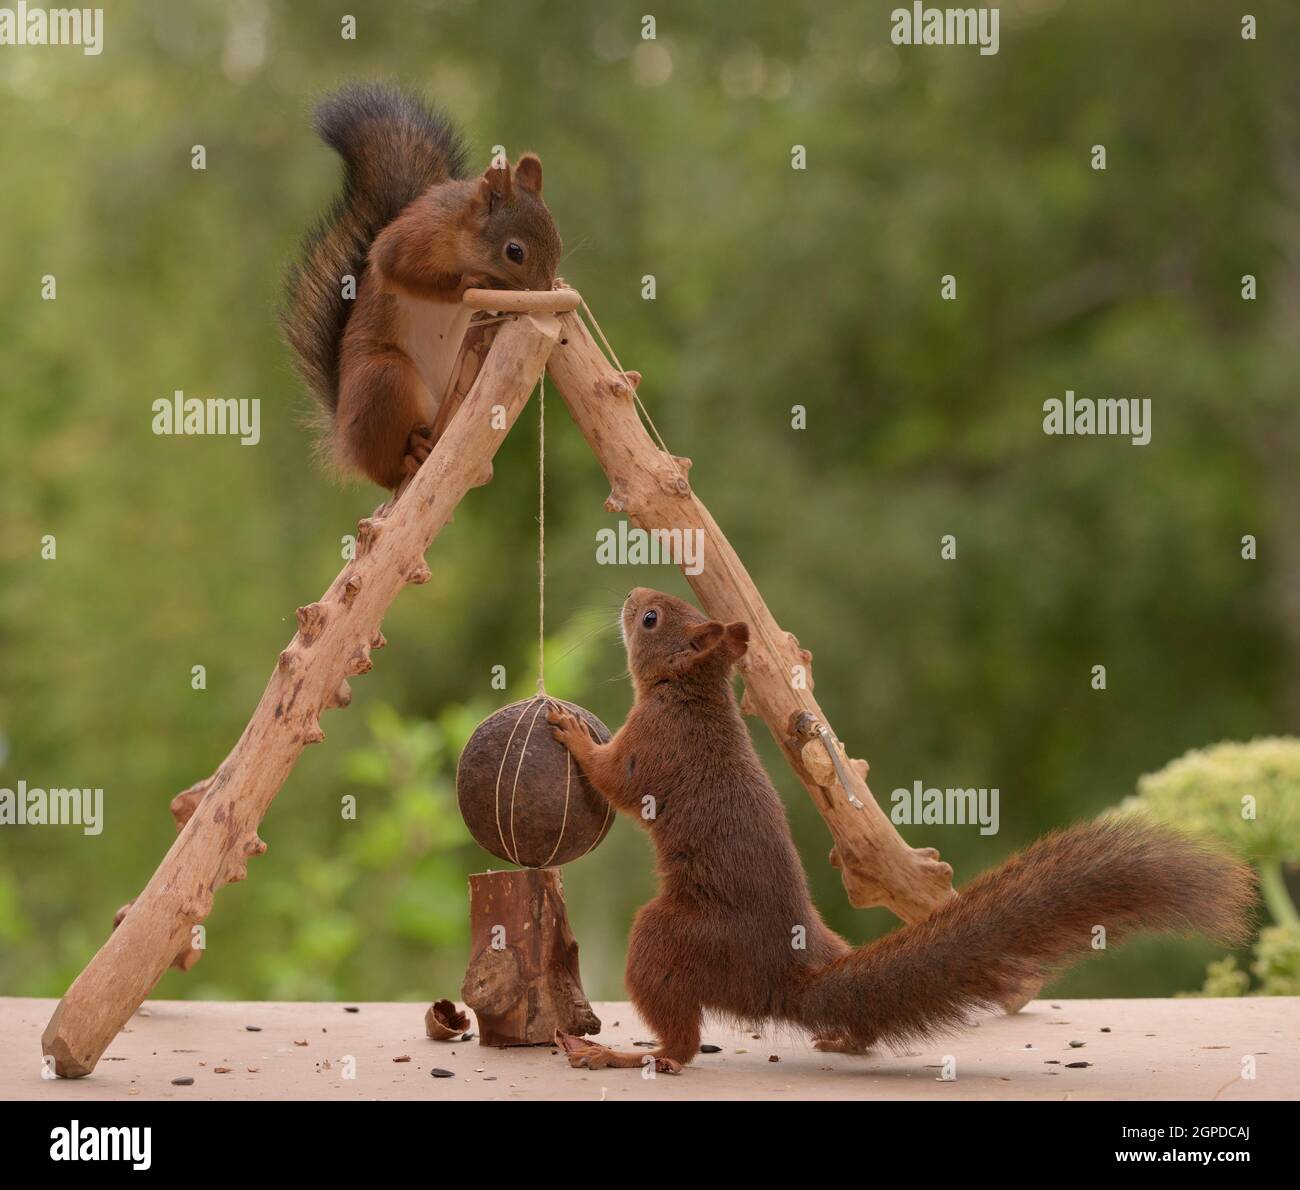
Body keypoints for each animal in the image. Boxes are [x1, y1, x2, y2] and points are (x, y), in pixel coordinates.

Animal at [283, 84, 562, 489]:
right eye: (515, 252)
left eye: (558, 242)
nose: (543, 290)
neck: (459, 231)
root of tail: (343, 436)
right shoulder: (409, 242)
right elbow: (403, 272)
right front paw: (467, 284)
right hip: (382, 379)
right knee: (384, 469)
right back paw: (409, 455)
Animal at [546, 588, 1256, 1073]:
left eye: (652, 619)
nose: (632, 595)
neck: (690, 693)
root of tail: (787, 978)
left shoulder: (651, 750)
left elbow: (612, 777)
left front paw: (571, 732)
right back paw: (843, 1036)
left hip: (668, 935)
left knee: (685, 1043)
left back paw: (625, 1055)